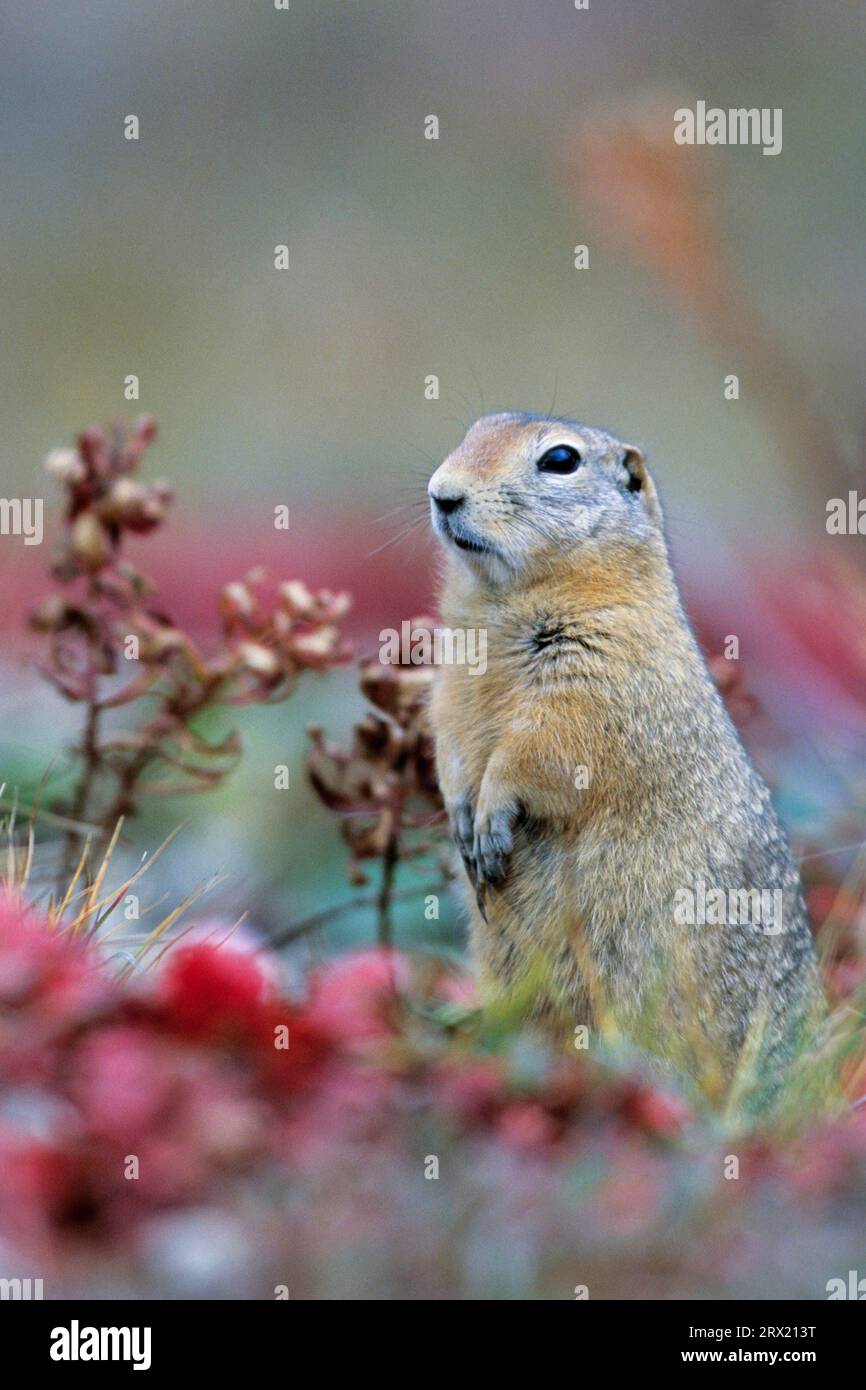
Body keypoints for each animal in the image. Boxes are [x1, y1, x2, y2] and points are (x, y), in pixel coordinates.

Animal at [428, 413, 824, 1099]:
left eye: (561, 460)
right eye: (473, 431)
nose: (441, 493)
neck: (498, 606)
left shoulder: (596, 678)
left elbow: (538, 751)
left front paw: (492, 818)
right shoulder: (450, 685)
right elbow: (449, 744)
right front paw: (462, 819)